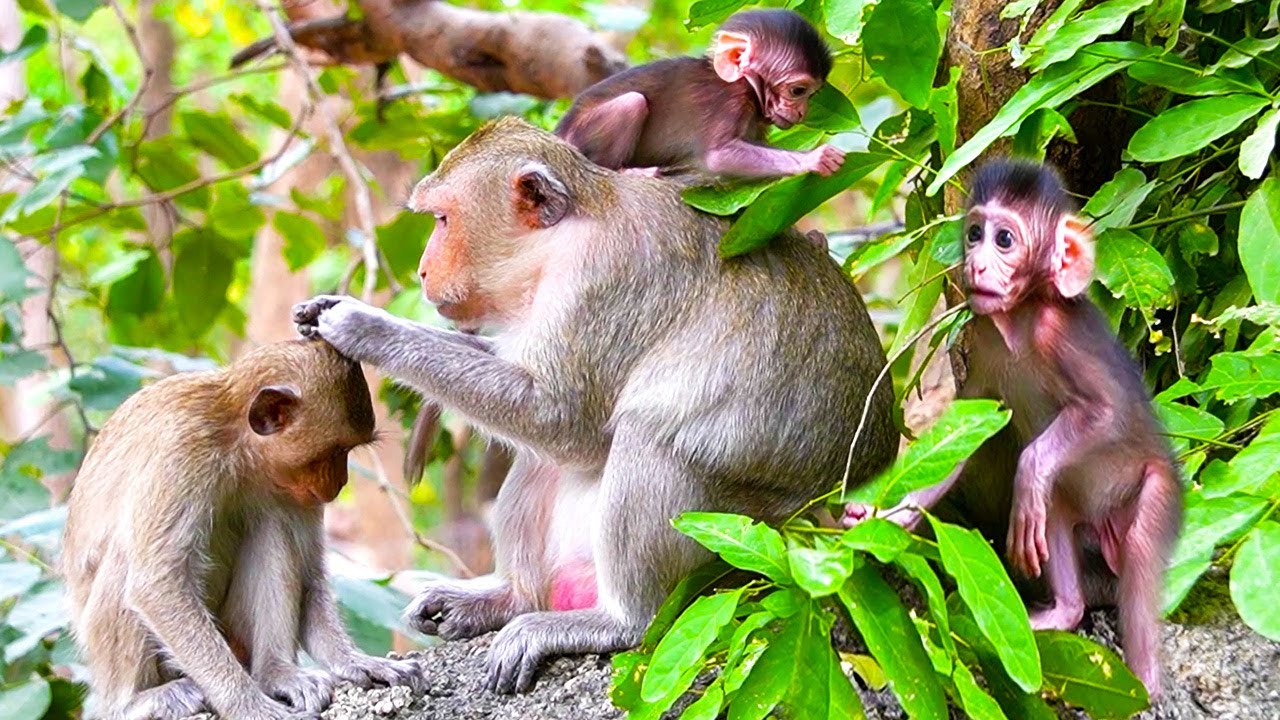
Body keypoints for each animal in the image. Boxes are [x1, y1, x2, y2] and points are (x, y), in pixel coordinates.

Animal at [61, 340, 424, 720]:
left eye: (348, 451)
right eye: (335, 451)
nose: (339, 482)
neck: (237, 448)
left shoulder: (292, 490)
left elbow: (309, 574)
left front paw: (353, 661)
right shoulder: (182, 450)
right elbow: (157, 584)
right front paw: (249, 705)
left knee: (273, 528)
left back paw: (275, 673)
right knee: (125, 560)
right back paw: (135, 701)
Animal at [290, 116, 896, 694]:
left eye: (441, 220)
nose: (422, 269)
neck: (567, 234)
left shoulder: (603, 281)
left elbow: (563, 420)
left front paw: (363, 326)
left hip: (745, 540)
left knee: (648, 439)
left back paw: (621, 621)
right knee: (543, 459)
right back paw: (509, 599)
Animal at [554, 9, 845, 180]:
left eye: (811, 95)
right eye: (798, 91)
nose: (802, 111)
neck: (746, 87)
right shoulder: (728, 101)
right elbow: (719, 156)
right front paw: (813, 159)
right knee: (631, 103)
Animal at [844, 159, 1182, 698]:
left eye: (1004, 239)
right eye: (974, 234)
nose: (976, 265)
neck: (1020, 320)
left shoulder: (1058, 335)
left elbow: (1105, 413)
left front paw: (1028, 469)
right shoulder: (981, 336)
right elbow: (964, 435)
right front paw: (888, 515)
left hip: (1156, 490)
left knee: (1139, 547)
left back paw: (1144, 684)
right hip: (1077, 512)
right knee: (1056, 508)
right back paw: (1062, 613)